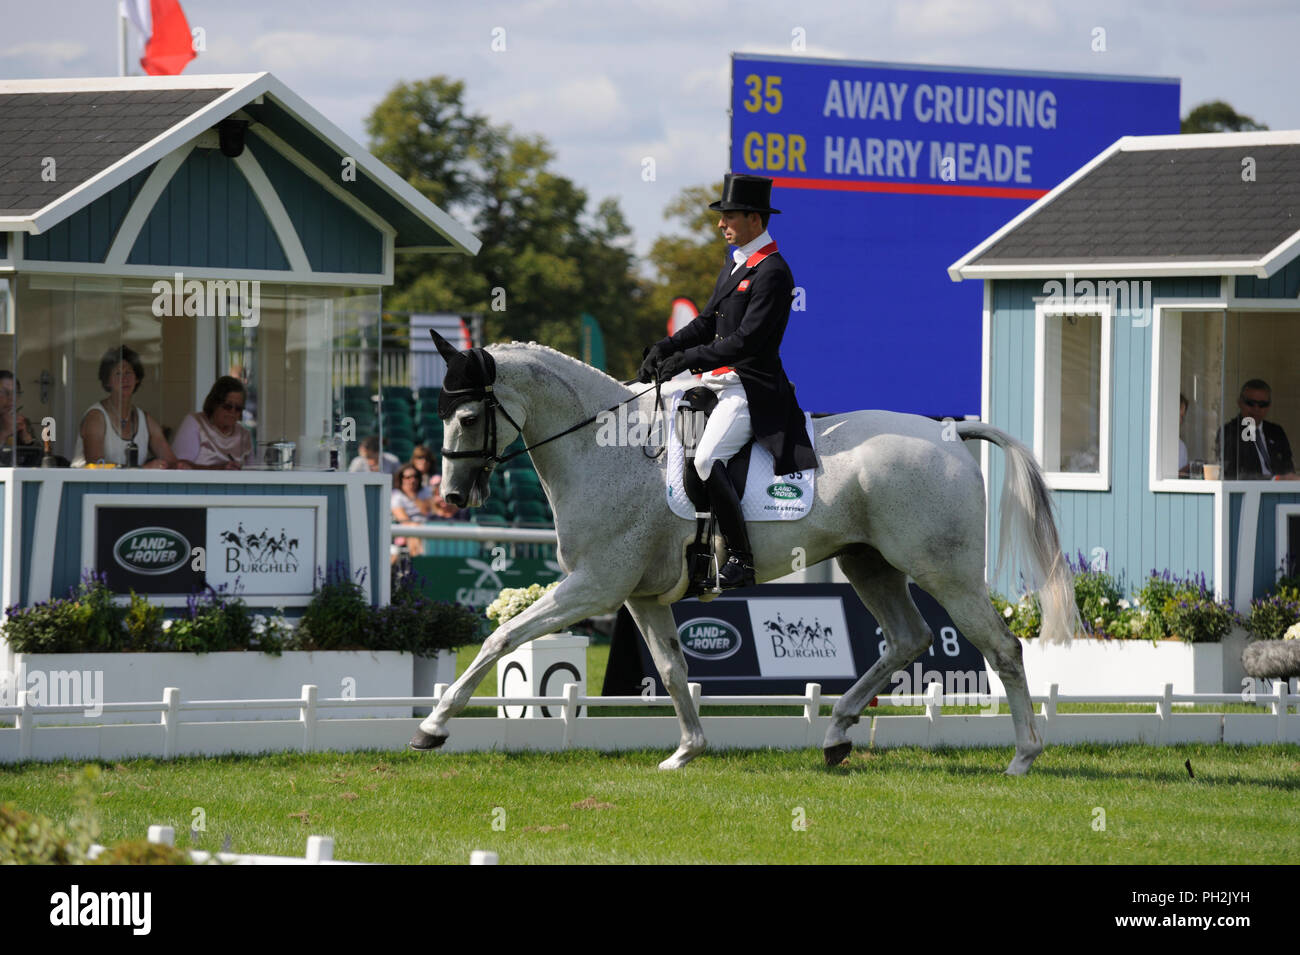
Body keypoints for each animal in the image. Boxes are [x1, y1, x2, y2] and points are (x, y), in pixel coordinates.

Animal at [409, 339, 1079, 774]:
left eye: (466, 415)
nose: (452, 496)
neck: (608, 450)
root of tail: (950, 432)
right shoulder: (639, 596)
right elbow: (673, 669)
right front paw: (687, 751)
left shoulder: (594, 586)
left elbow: (501, 638)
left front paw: (433, 726)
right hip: (869, 563)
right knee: (908, 638)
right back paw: (836, 734)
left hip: (946, 571)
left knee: (1002, 648)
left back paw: (1023, 757)